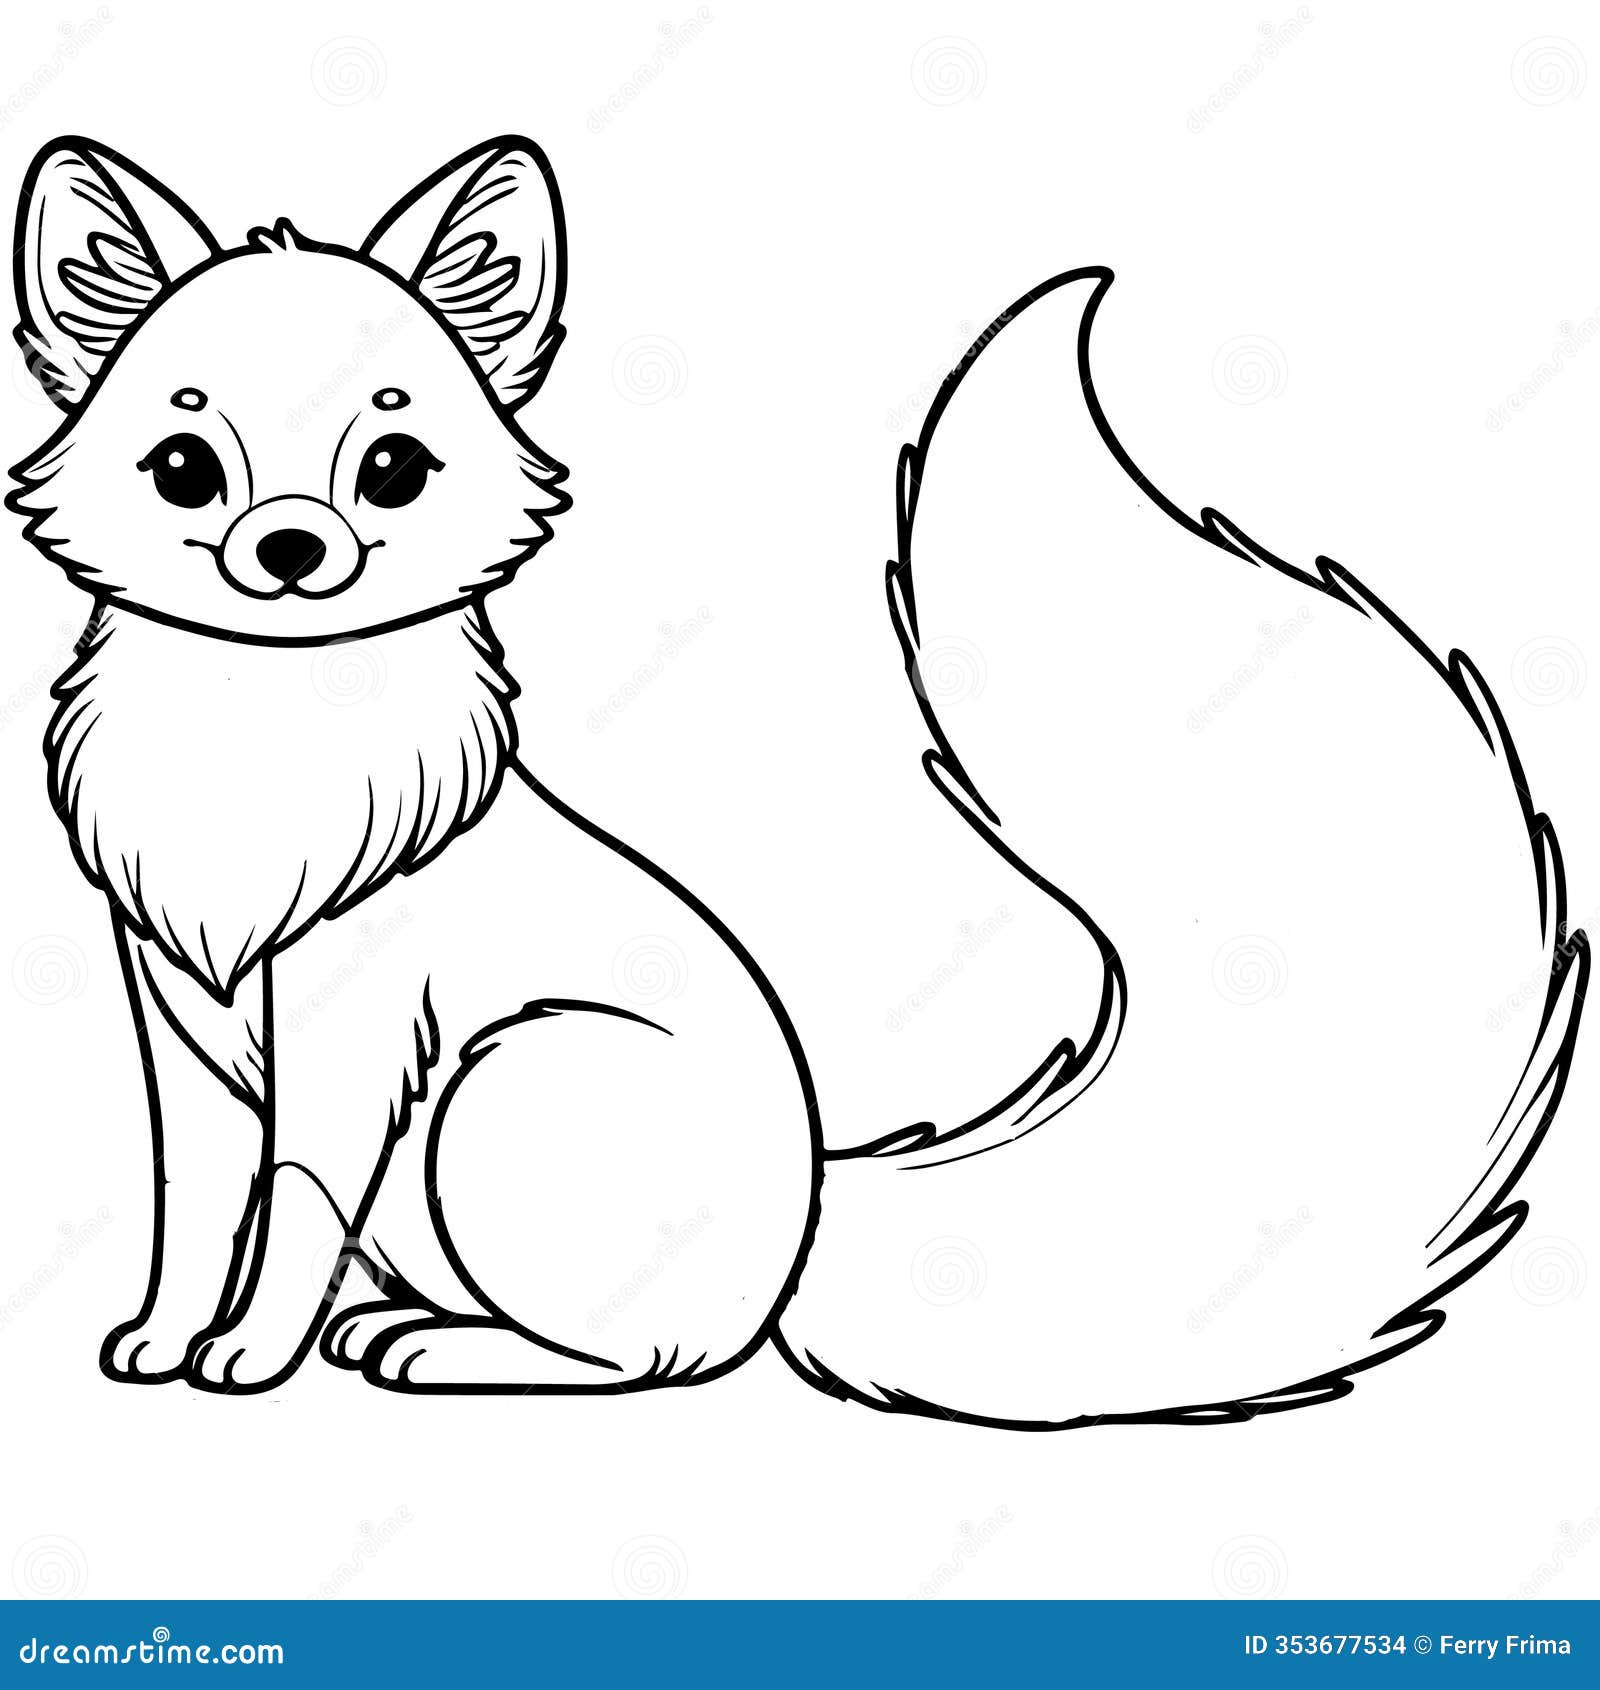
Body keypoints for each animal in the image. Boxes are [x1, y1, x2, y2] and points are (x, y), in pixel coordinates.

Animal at [9, 135, 1585, 1425]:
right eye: (182, 465)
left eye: (392, 464)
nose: (289, 549)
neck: (254, 741)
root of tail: (811, 1225)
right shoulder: (172, 1003)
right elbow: (193, 1197)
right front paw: (162, 1336)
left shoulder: (351, 1036)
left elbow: (288, 1207)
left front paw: (245, 1355)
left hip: (512, 1078)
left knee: (652, 1359)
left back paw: (450, 1350)